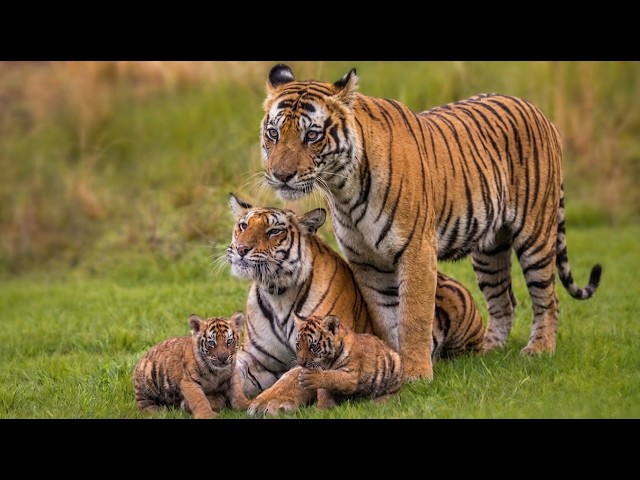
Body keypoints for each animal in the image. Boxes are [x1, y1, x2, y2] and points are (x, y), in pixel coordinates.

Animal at [226, 193, 484, 415]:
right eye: (243, 226)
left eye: (274, 231)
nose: (241, 249)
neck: (277, 292)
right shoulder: (257, 357)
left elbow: (293, 376)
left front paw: (267, 402)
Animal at [259, 63, 602, 384]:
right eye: (273, 133)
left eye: (312, 135)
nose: (281, 175)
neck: (343, 189)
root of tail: (538, 111)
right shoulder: (366, 261)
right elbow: (385, 317)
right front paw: (392, 366)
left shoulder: (416, 250)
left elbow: (413, 316)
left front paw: (416, 375)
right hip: (490, 250)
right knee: (504, 300)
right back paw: (488, 350)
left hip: (536, 235)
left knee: (548, 298)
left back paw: (539, 349)